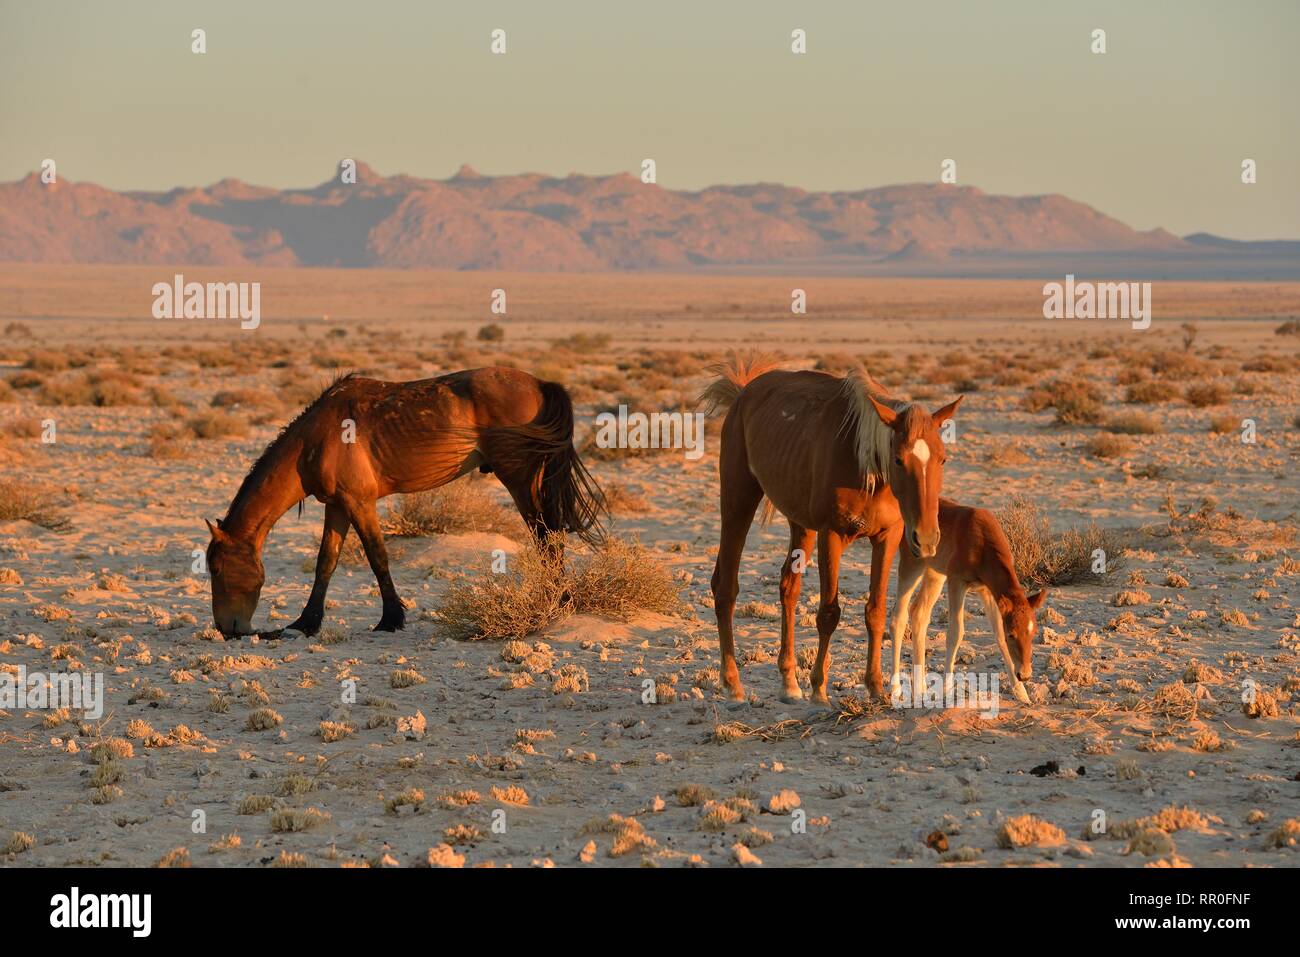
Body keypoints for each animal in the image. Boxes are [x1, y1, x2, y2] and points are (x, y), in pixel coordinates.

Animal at [205, 367, 605, 638]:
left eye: (216, 568)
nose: (226, 628)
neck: (314, 440)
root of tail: (540, 384)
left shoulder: (360, 503)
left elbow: (377, 557)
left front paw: (391, 619)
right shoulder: (337, 506)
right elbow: (325, 564)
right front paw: (306, 622)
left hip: (520, 480)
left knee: (546, 536)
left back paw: (555, 601)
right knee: (550, 535)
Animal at [700, 355, 961, 705]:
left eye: (943, 459)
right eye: (898, 459)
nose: (929, 538)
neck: (867, 467)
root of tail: (744, 392)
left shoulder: (887, 537)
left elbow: (876, 611)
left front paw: (876, 687)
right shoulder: (831, 535)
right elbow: (828, 613)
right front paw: (819, 688)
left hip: (801, 525)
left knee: (788, 587)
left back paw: (788, 682)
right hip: (738, 500)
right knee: (725, 586)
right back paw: (733, 683)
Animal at [890, 498, 1046, 706]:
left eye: (1034, 633)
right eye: (1012, 634)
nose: (1025, 674)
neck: (981, 543)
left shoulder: (987, 590)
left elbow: (998, 634)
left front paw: (1022, 693)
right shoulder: (957, 581)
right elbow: (955, 633)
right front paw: (947, 690)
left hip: (935, 573)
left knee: (919, 613)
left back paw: (920, 689)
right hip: (912, 565)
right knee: (898, 617)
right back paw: (895, 690)